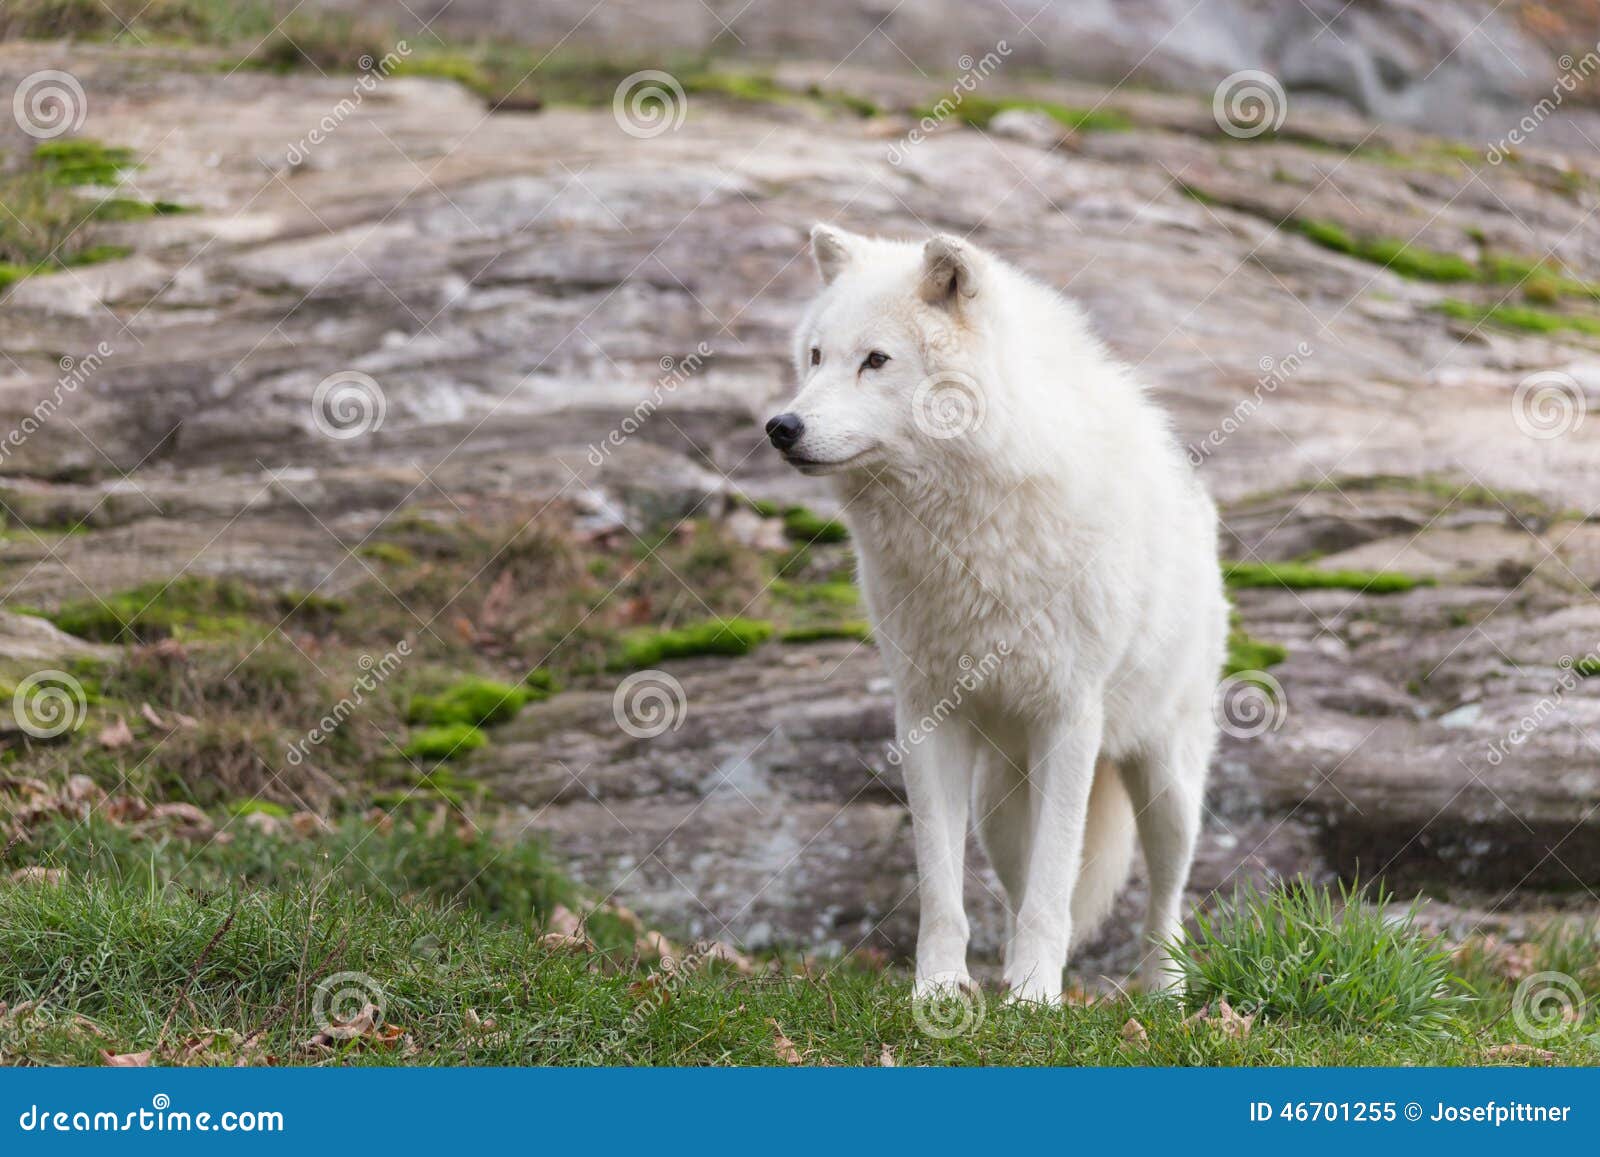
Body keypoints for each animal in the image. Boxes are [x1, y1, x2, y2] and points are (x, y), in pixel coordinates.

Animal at [767, 225, 1227, 1003]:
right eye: (817, 356)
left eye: (876, 360)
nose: (780, 426)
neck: (964, 536)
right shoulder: (926, 719)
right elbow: (942, 888)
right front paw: (941, 989)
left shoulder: (1069, 720)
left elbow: (1055, 884)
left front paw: (1039, 997)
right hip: (998, 807)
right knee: (1020, 891)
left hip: (1166, 784)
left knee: (1161, 897)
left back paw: (1163, 992)